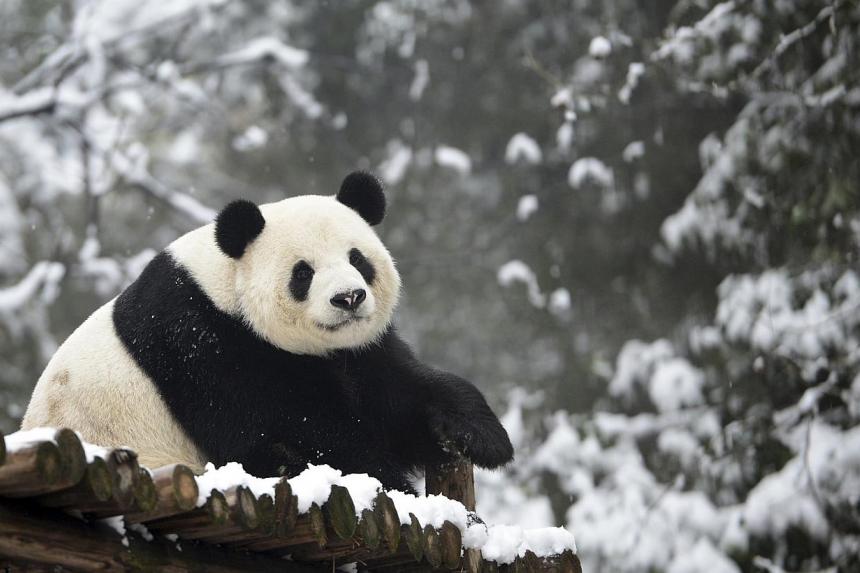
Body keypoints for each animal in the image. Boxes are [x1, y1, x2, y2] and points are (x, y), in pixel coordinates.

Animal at [22, 171, 513, 492]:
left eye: (358, 259)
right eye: (303, 273)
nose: (349, 298)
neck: (224, 285)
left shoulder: (357, 351)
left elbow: (398, 392)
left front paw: (482, 436)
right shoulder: (208, 344)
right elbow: (308, 431)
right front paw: (391, 486)